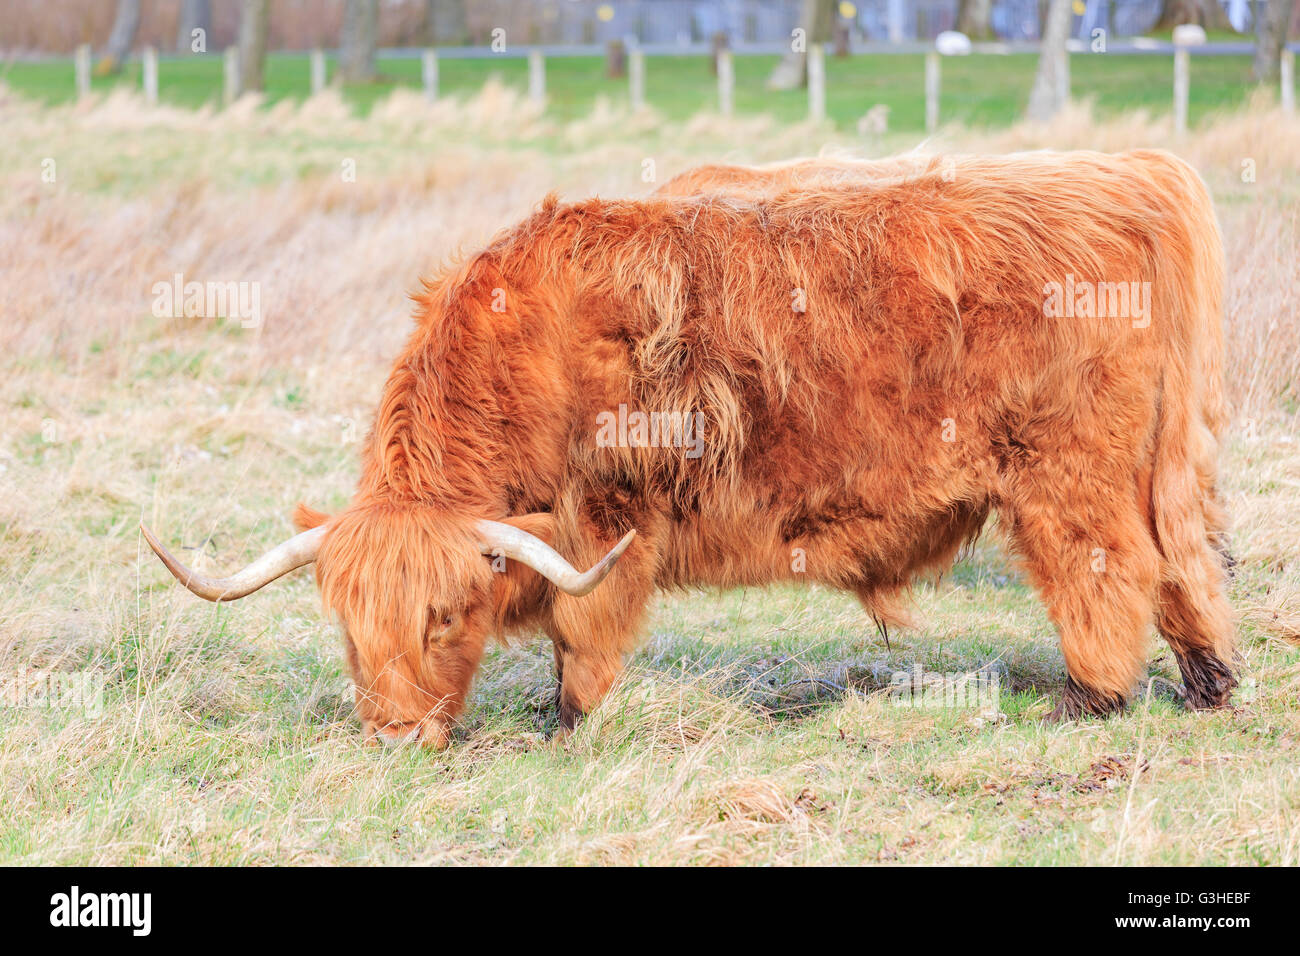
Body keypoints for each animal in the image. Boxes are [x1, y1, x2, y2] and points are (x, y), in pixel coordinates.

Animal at [143, 149, 1236, 748]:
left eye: (443, 614)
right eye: (346, 626)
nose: (395, 734)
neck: (523, 350)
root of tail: (1130, 172)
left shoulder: (607, 517)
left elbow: (583, 630)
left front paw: (572, 722)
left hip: (1066, 470)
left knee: (1108, 566)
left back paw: (1090, 701)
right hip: (1157, 463)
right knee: (1186, 563)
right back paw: (1208, 685)